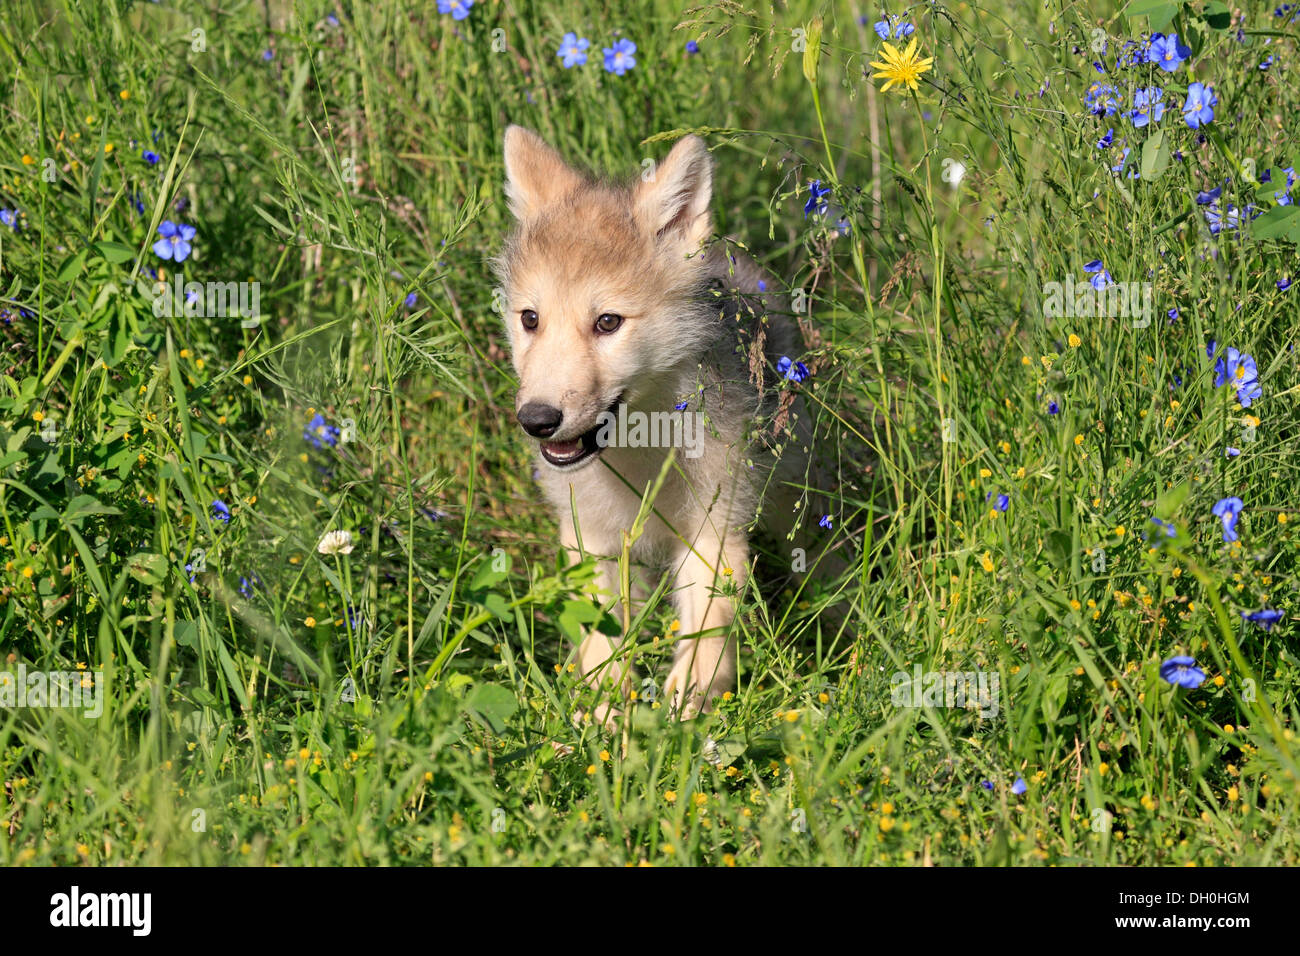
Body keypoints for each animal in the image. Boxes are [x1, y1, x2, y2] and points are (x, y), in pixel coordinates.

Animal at [494, 126, 826, 720]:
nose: (537, 420)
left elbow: (705, 644)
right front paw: (603, 715)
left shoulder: (713, 537)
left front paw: (679, 718)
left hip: (793, 493)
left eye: (608, 322)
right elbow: (599, 643)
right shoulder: (591, 540)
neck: (641, 452)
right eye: (530, 319)